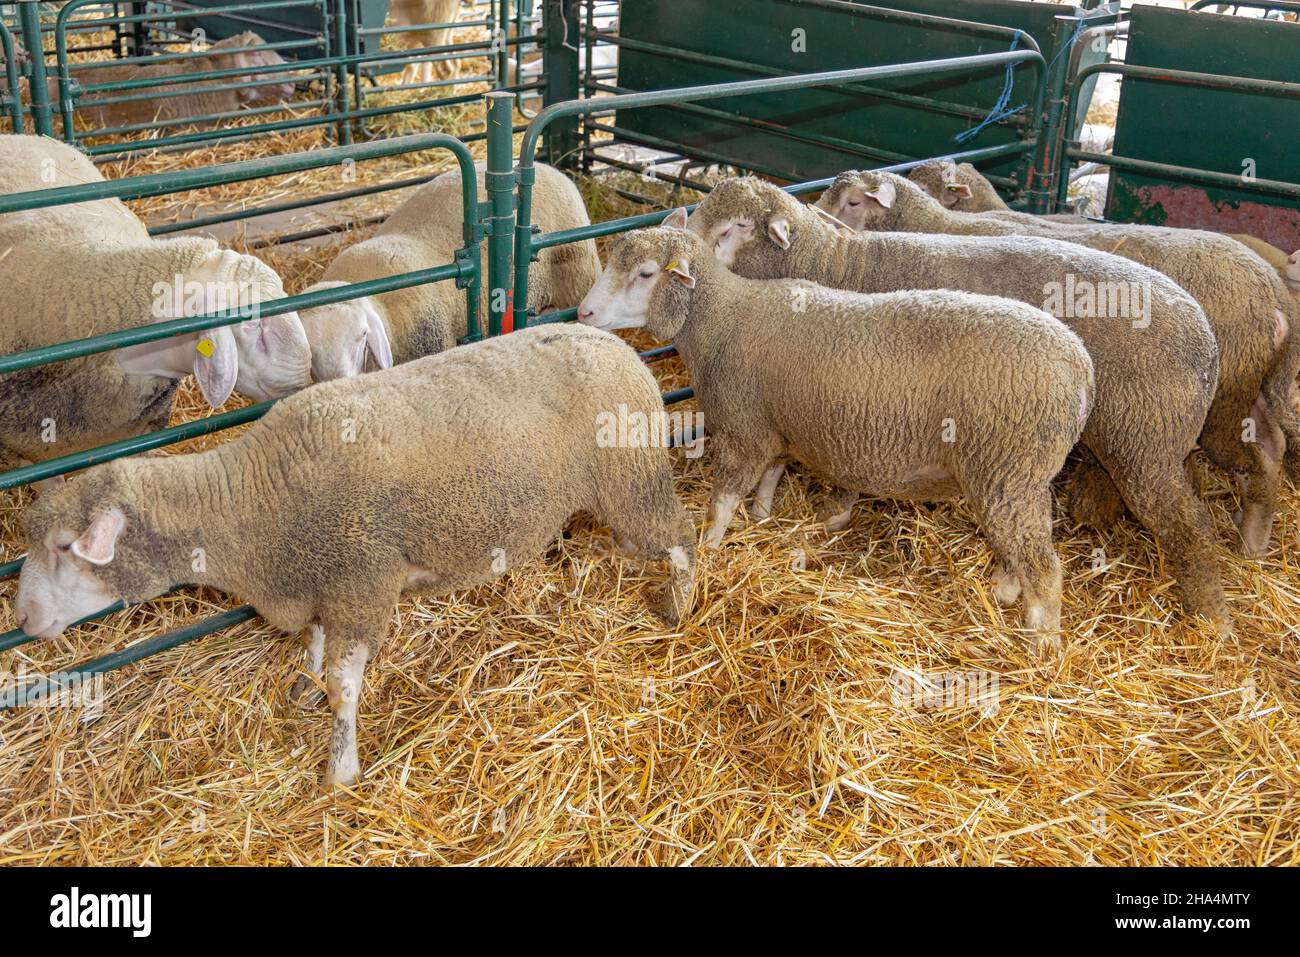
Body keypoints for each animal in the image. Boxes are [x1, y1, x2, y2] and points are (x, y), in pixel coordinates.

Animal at [13, 323, 696, 787]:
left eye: (64, 547)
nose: (21, 620)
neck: (252, 502)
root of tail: (619, 347)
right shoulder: (320, 578)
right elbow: (313, 646)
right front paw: (304, 688)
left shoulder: (361, 579)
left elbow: (346, 687)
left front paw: (341, 767)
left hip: (632, 474)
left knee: (682, 537)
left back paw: (680, 605)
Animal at [579, 216, 1094, 648]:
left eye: (646, 273)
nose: (583, 314)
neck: (722, 318)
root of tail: (1081, 369)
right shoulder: (776, 427)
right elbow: (770, 479)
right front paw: (762, 518)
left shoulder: (745, 429)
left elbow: (721, 501)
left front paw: (710, 548)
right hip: (1012, 477)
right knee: (1018, 545)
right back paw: (1004, 591)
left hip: (1008, 470)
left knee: (1044, 567)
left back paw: (1041, 642)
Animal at [686, 176, 1230, 634]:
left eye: (733, 227)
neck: (841, 262)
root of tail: (1207, 344)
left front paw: (833, 515)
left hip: (1144, 439)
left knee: (1188, 523)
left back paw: (1212, 618)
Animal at [817, 169, 1299, 556]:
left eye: (853, 202)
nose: (816, 216)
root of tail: (1275, 295)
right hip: (1255, 386)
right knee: (1271, 445)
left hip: (1221, 397)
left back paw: (1249, 539)